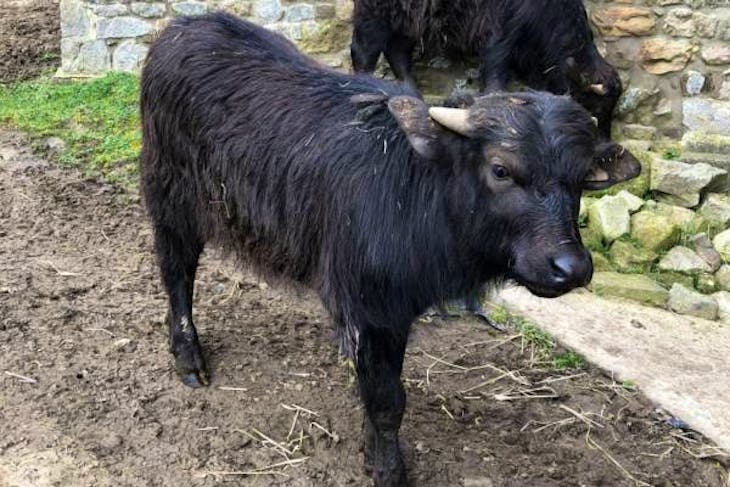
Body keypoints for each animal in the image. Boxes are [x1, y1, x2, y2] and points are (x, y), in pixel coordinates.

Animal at [350, 0, 622, 142]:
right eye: (597, 105)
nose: (607, 142)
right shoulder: (501, 33)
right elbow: (495, 69)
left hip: (405, 24)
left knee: (398, 53)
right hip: (373, 16)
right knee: (364, 51)